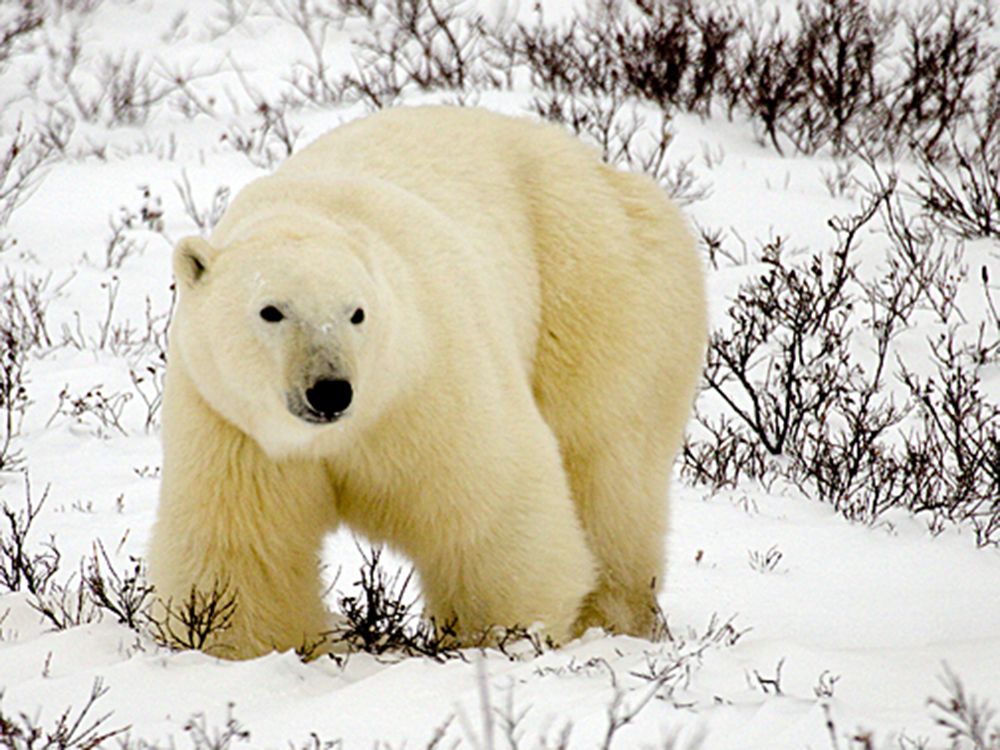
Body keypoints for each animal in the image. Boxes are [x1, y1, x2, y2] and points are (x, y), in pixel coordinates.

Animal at [147, 105, 707, 659]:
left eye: (357, 313)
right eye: (271, 310)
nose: (330, 390)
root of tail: (602, 167)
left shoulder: (425, 386)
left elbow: (492, 512)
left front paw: (501, 639)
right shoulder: (231, 426)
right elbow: (242, 549)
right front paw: (233, 647)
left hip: (596, 288)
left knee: (606, 464)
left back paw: (614, 616)